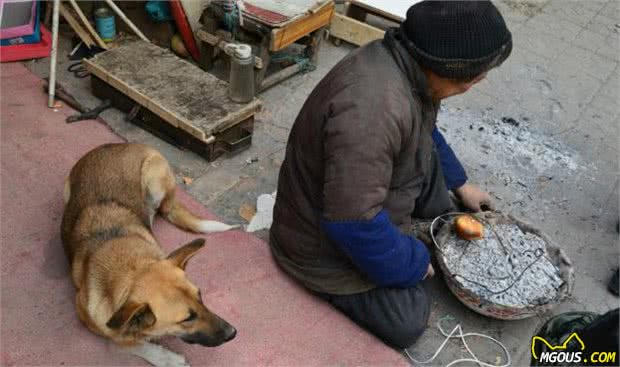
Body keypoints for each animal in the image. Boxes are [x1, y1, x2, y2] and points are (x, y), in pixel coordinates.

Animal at [62, 144, 237, 367]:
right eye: (186, 319)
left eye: (200, 296)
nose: (233, 333)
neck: (132, 267)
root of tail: (113, 145)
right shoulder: (90, 318)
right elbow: (129, 342)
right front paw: (169, 359)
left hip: (154, 181)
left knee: (163, 208)